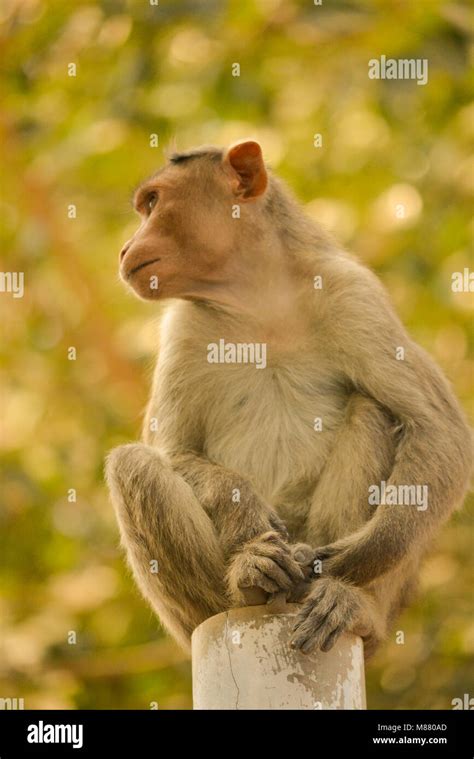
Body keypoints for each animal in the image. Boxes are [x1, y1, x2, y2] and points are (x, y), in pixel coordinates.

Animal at [106, 140, 472, 658]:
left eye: (153, 203)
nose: (125, 246)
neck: (258, 298)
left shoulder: (354, 294)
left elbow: (438, 428)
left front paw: (355, 556)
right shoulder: (183, 327)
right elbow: (175, 450)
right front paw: (244, 510)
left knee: (373, 411)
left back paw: (346, 600)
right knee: (133, 466)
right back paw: (247, 582)